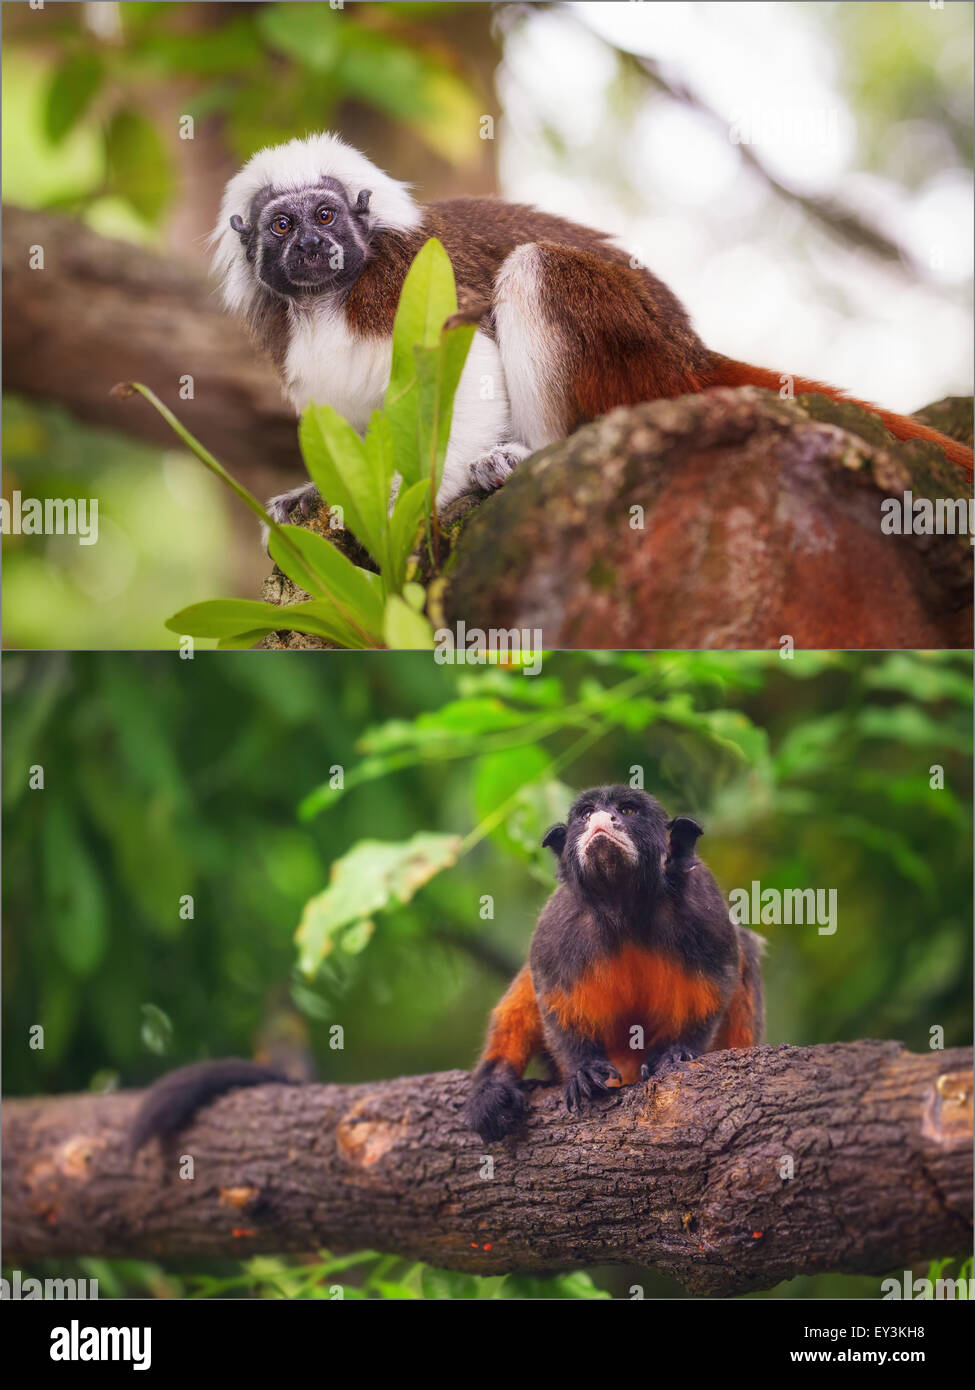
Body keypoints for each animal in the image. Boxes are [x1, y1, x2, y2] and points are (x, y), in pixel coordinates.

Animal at [211, 128, 973, 533]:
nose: (314, 248)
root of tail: (690, 352)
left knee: (537, 268)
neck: (328, 301)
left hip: (633, 353)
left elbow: (468, 354)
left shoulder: (397, 286)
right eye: (283, 226)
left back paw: (523, 459)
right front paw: (313, 495)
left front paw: (403, 505)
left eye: (326, 216)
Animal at [463, 785, 765, 1144]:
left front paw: (675, 1051)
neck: (625, 908)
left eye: (627, 811)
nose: (601, 819)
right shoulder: (559, 925)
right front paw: (583, 1069)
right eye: (586, 813)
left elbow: (715, 986)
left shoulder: (705, 910)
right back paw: (494, 1084)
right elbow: (555, 1002)